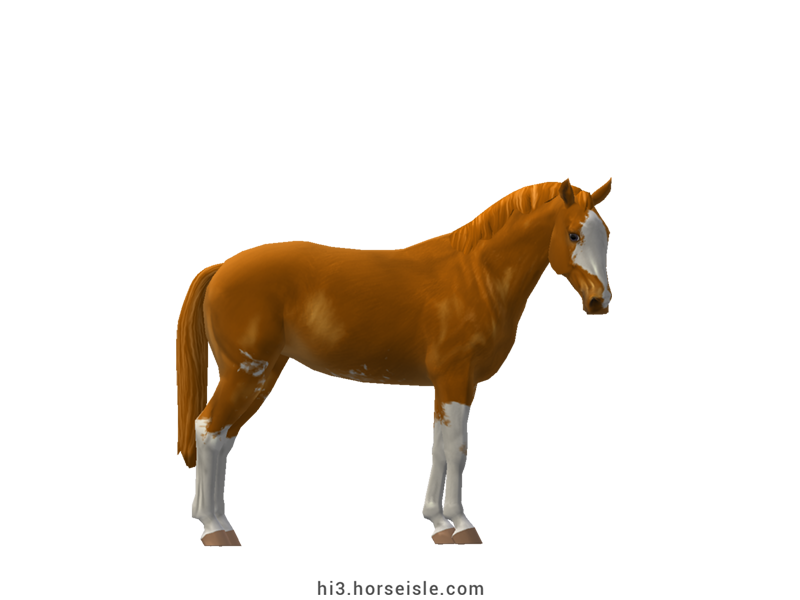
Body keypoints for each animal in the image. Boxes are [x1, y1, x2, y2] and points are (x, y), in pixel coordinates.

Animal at [176, 178, 612, 538]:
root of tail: (222, 269)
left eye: (604, 236)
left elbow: (438, 445)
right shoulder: (455, 376)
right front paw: (460, 521)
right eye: (573, 234)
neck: (478, 276)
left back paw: (208, 519)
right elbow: (456, 446)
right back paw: (212, 525)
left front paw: (436, 519)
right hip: (243, 372)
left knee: (212, 434)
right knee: (208, 430)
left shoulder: (449, 382)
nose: (598, 301)